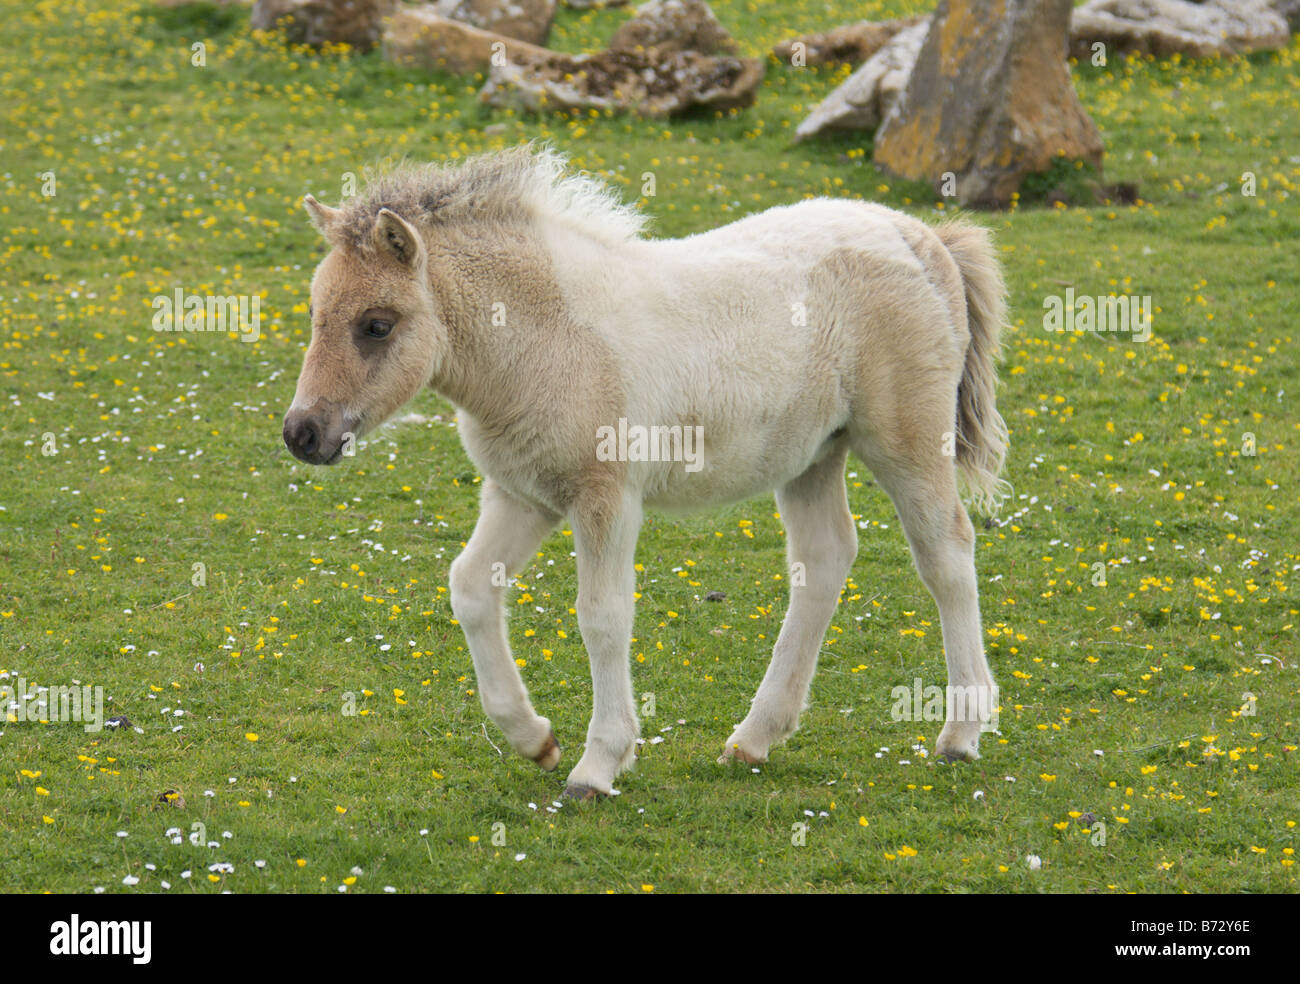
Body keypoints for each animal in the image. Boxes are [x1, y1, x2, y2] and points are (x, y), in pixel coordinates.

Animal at [283, 145, 1009, 799]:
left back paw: (960, 732)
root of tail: (921, 237)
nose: (302, 433)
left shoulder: (607, 499)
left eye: (377, 324)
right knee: (825, 559)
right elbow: (469, 587)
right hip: (811, 455)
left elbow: (602, 615)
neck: (549, 336)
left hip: (906, 441)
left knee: (946, 553)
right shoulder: (524, 494)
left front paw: (597, 765)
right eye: (315, 312)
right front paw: (535, 739)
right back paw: (755, 738)